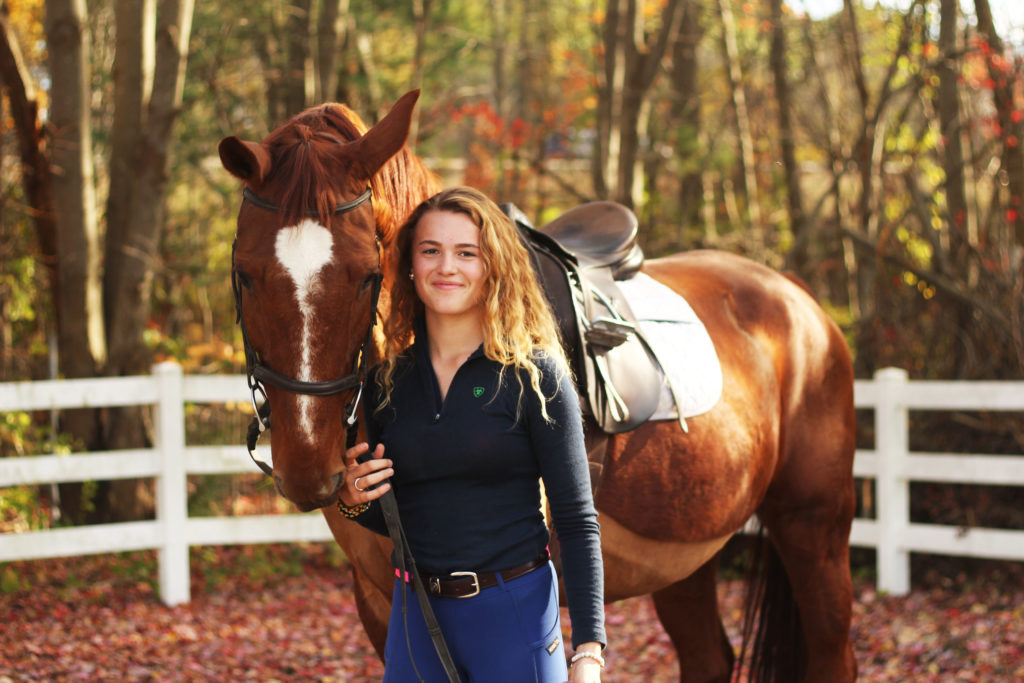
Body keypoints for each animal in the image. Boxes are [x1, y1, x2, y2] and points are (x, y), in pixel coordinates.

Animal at [219, 90, 858, 682]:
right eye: (245, 274)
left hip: (813, 528)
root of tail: (802, 303)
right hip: (687, 545)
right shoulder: (383, 600)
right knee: (707, 656)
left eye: (367, 275)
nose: (308, 467)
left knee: (833, 649)